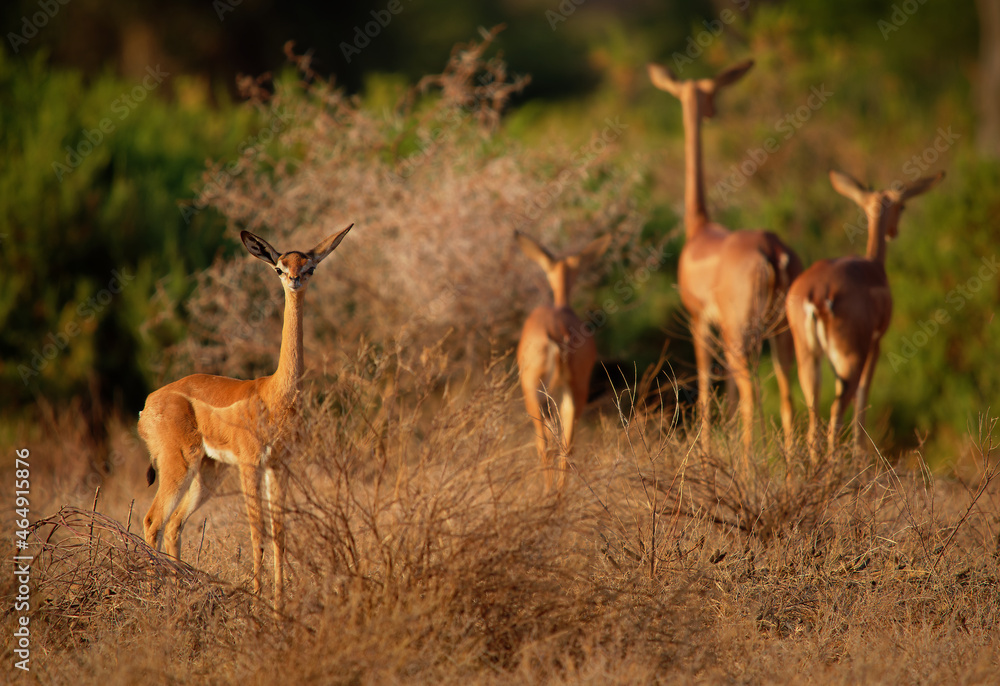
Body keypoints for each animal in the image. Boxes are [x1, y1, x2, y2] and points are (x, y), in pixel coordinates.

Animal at [138, 225, 353, 616]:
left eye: (310, 266)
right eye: (279, 268)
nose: (295, 281)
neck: (276, 393)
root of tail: (148, 405)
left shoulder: (279, 466)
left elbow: (280, 532)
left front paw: (280, 605)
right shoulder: (251, 463)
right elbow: (257, 531)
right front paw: (257, 601)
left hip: (209, 472)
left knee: (174, 524)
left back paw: (175, 593)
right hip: (180, 464)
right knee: (153, 520)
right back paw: (153, 599)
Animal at [648, 59, 802, 464]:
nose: (711, 111)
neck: (699, 228)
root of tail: (772, 250)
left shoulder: (700, 322)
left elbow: (705, 389)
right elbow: (728, 395)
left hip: (740, 334)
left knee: (751, 395)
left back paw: (749, 469)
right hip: (779, 333)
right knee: (788, 398)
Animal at [787, 170, 943, 462]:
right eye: (902, 206)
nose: (893, 232)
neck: (875, 266)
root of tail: (818, 295)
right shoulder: (875, 345)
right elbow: (863, 397)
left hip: (808, 358)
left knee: (813, 418)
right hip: (850, 358)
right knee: (836, 413)